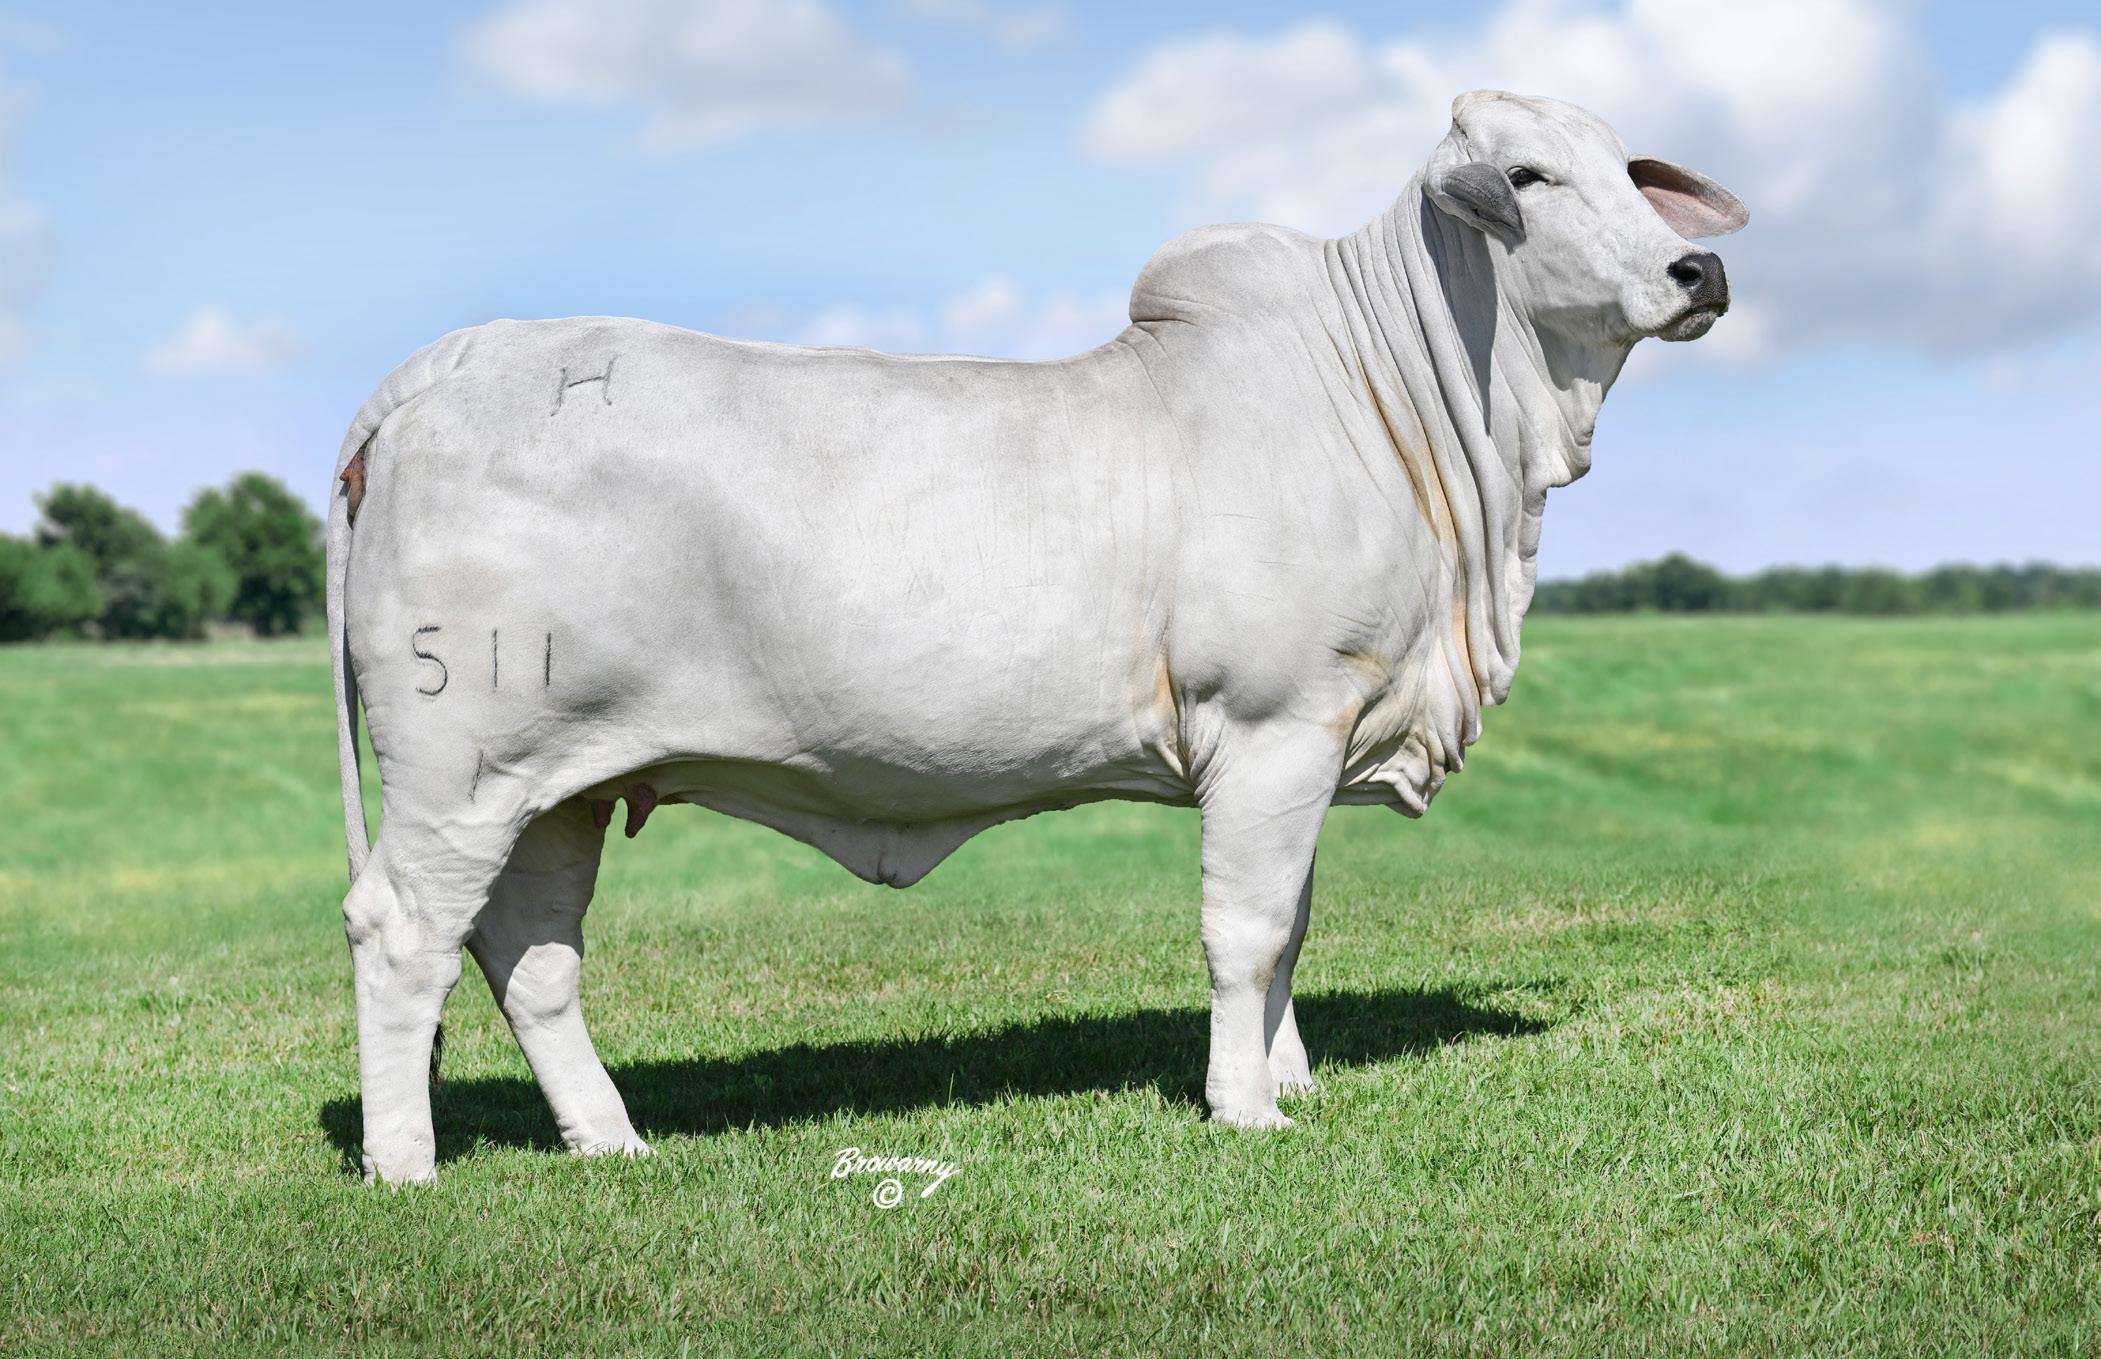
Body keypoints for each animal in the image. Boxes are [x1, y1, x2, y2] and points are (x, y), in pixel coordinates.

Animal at [327, 90, 1746, 1184]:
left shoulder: (1316, 736)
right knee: (402, 933)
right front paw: (1245, 1107)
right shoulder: (1274, 723)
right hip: (458, 768)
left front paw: (1289, 1079)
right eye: (1527, 175)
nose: (1702, 273)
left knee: (530, 955)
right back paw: (408, 1166)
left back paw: (612, 1142)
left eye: (1630, 171)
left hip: (560, 782)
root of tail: (438, 371)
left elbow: (1292, 926)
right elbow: (1246, 929)